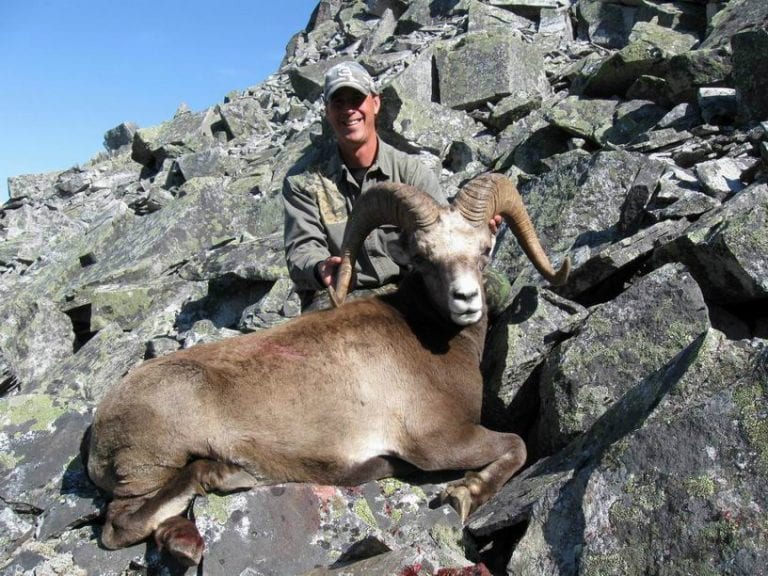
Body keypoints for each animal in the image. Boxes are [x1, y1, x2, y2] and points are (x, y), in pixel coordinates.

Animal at [84, 173, 570, 566]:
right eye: (424, 257)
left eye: (485, 250)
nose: (466, 300)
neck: (429, 336)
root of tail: (100, 430)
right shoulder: (438, 442)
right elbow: (517, 445)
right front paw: (463, 494)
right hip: (153, 466)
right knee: (120, 525)